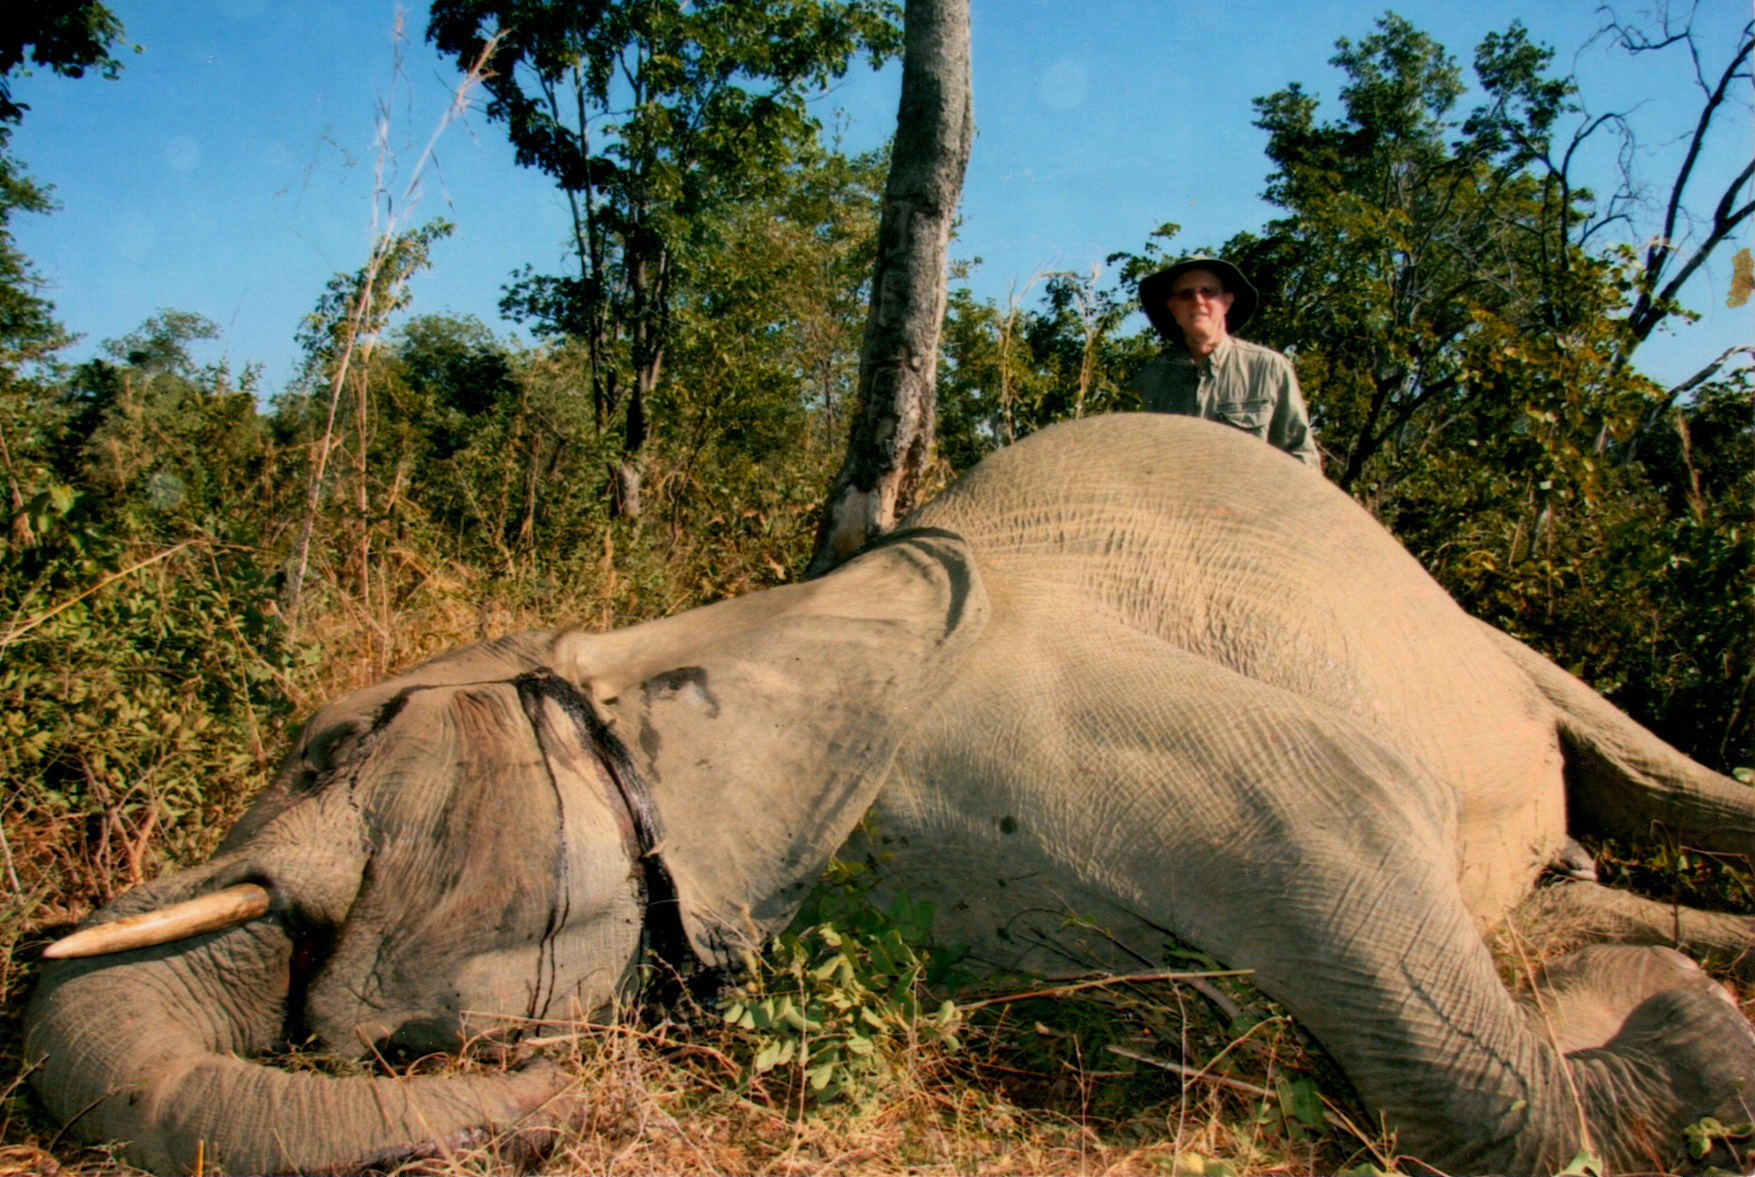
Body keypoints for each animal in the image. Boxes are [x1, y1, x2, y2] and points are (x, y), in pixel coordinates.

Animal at [24, 413, 1755, 1175]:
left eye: (340, 742)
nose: (542, 1119)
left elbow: (1373, 876)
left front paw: (1674, 1039)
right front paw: (1662, 1013)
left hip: (1494, 652)